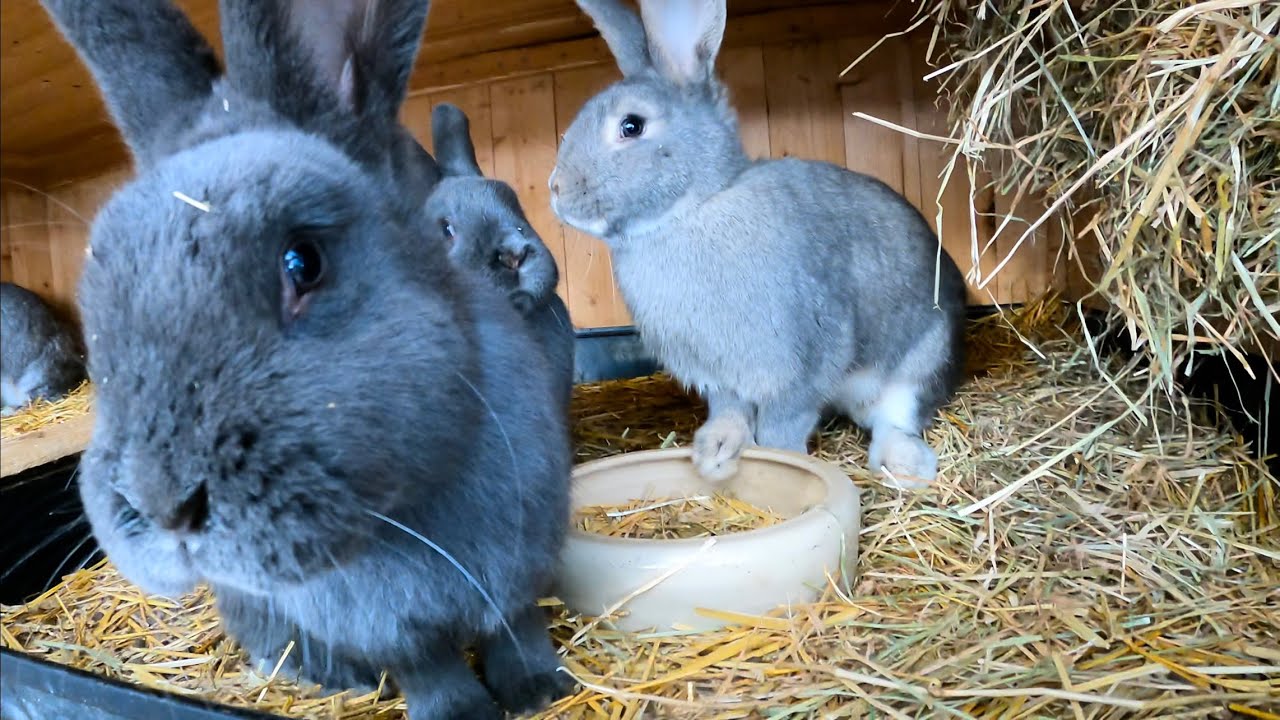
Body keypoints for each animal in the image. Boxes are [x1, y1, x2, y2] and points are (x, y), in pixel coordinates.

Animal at [549, 0, 968, 489]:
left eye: (631, 126)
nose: (556, 189)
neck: (694, 209)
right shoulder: (720, 379)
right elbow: (730, 413)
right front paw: (714, 453)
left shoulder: (806, 360)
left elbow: (781, 424)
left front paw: (783, 460)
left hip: (920, 362)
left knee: (894, 418)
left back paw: (906, 466)